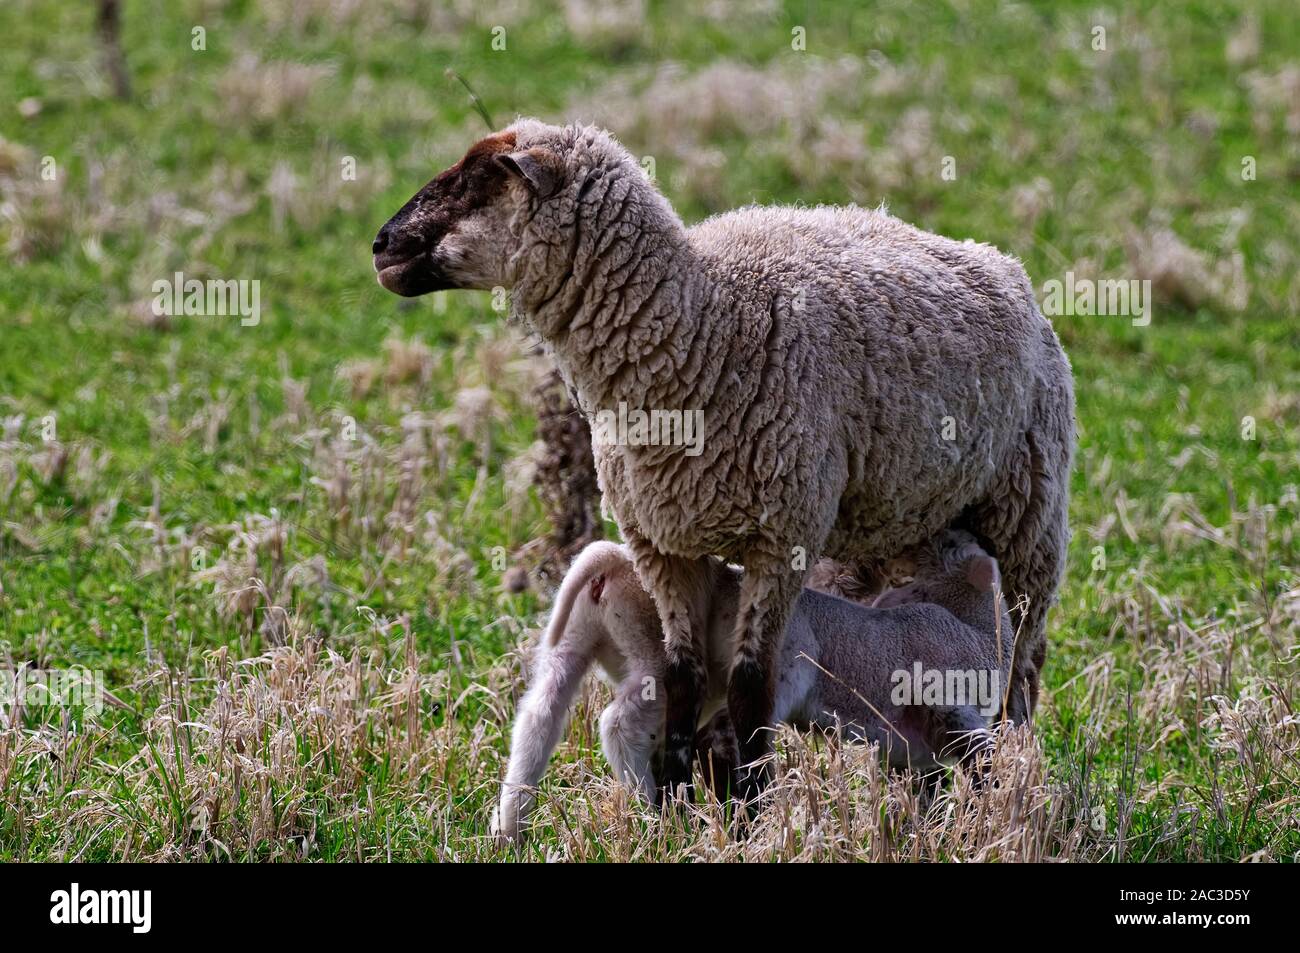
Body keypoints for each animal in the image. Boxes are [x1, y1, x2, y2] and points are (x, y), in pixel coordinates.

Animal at [374, 119, 1075, 807]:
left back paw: (1011, 773)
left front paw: (754, 804)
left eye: (479, 179)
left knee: (1022, 666)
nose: (381, 247)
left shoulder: (781, 540)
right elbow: (683, 678)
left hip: (1029, 522)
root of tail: (1002, 260)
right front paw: (679, 798)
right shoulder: (661, 542)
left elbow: (748, 685)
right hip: (894, 531)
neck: (704, 327)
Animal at [491, 531, 1015, 842]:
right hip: (664, 651)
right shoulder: (943, 699)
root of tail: (610, 562)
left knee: (540, 714)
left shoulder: (916, 746)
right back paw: (652, 812)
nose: (955, 530)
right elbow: (978, 757)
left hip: (575, 639)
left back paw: (510, 824)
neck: (977, 632)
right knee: (621, 722)